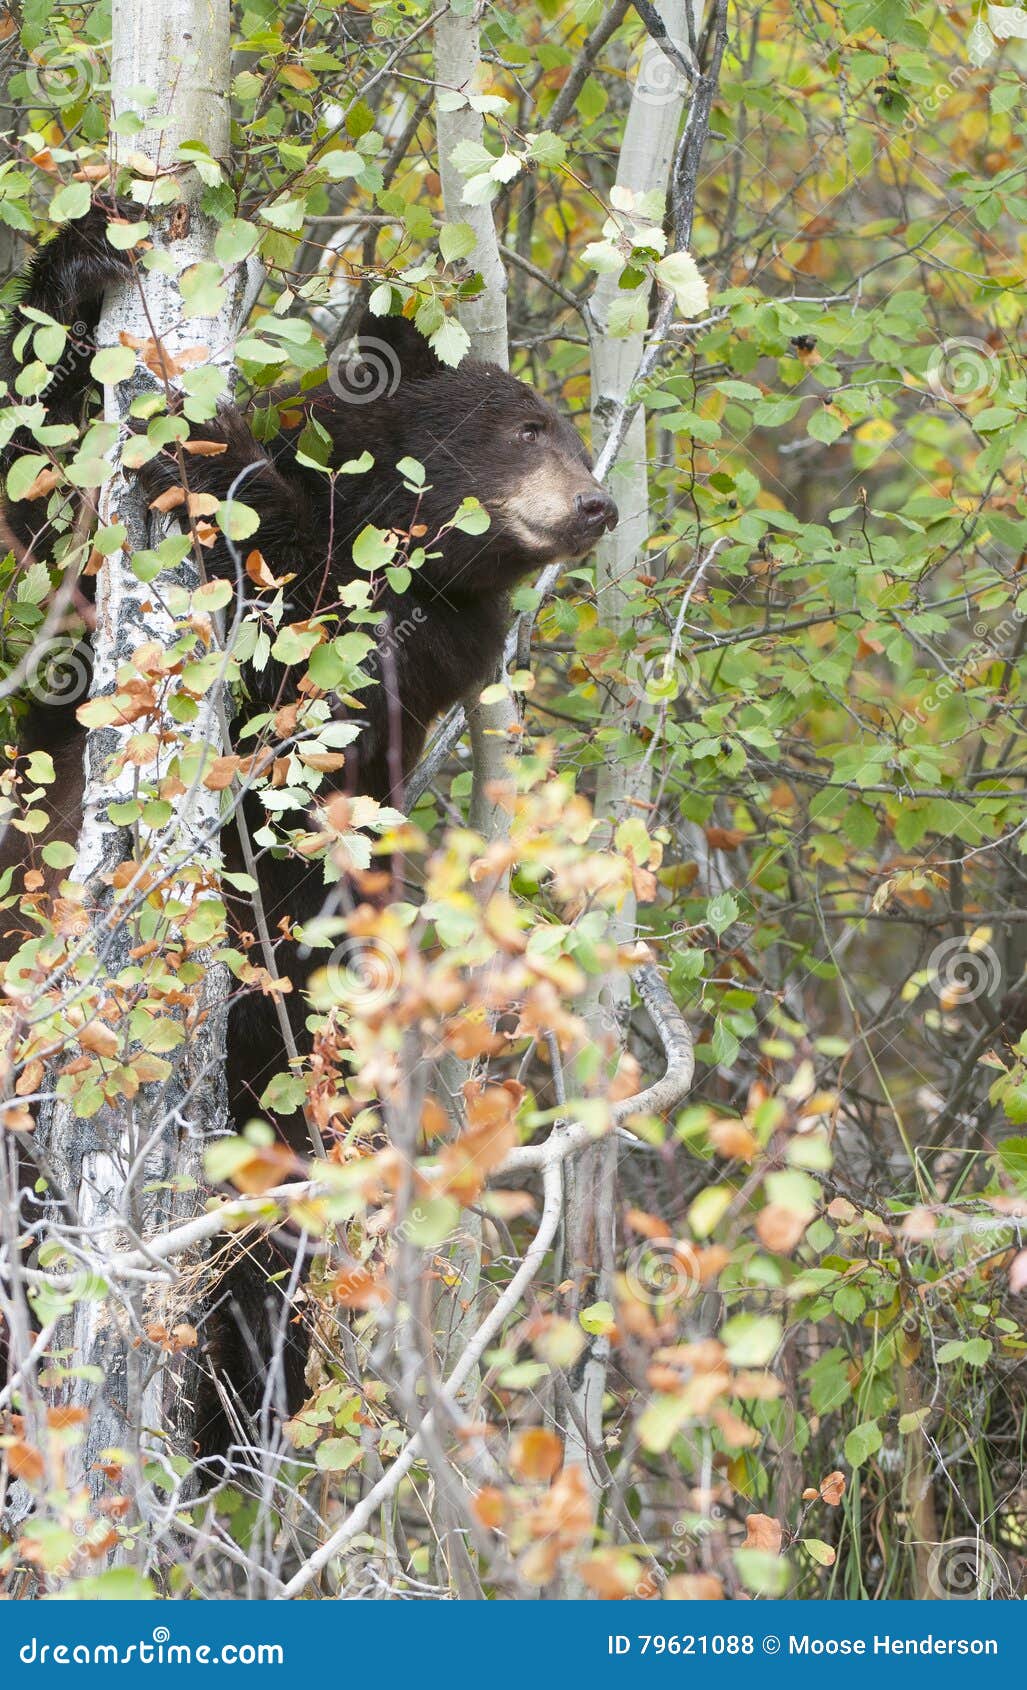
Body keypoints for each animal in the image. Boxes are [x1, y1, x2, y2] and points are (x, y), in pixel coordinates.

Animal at [0, 199, 617, 1467]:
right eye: (531, 425)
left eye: (566, 434)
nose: (595, 505)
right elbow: (48, 501)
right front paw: (87, 258)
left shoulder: (413, 654)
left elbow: (302, 689)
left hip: (282, 1067)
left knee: (261, 1270)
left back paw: (234, 1430)